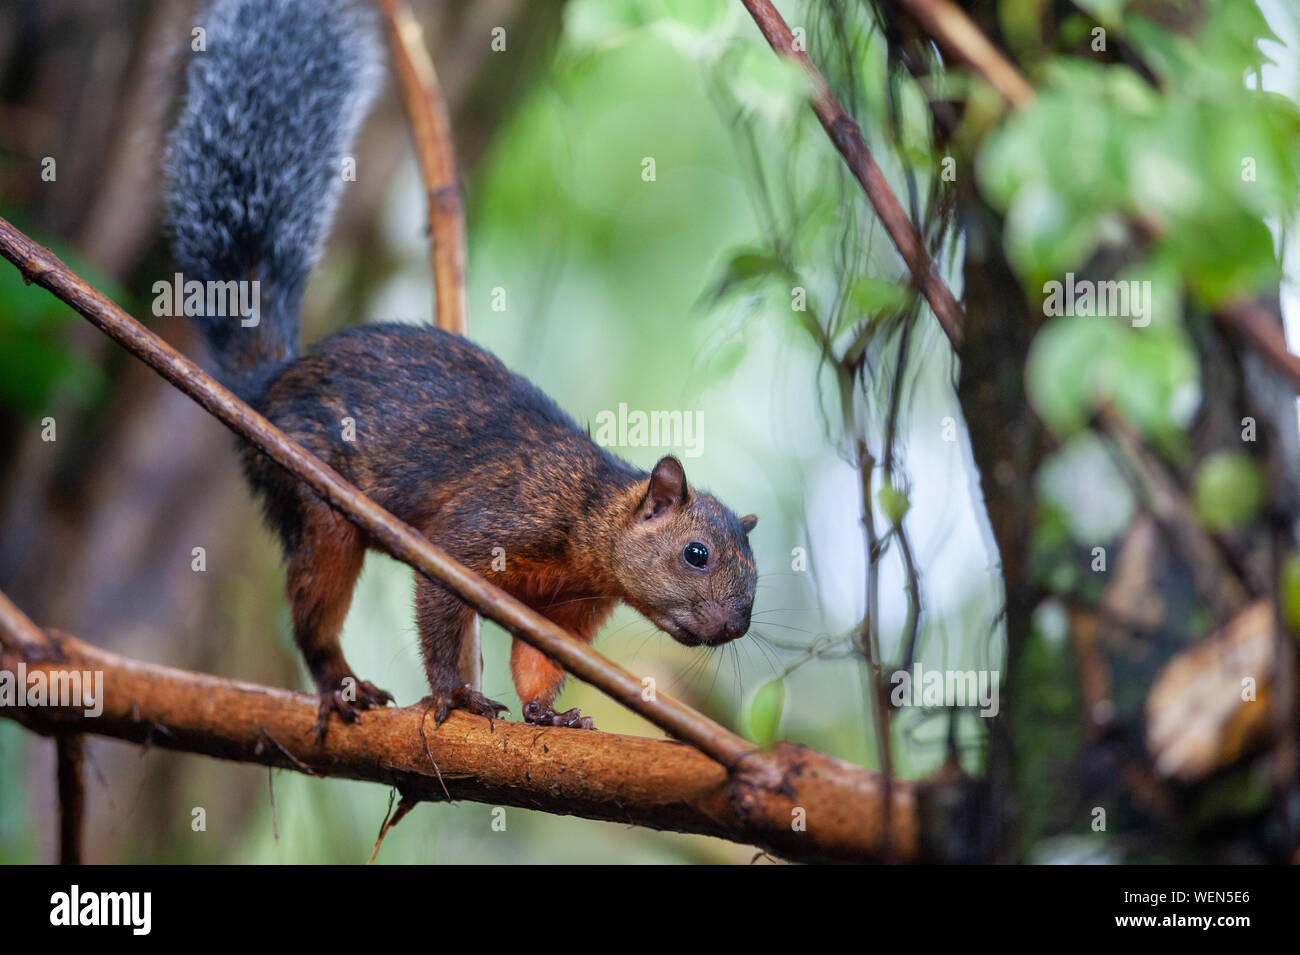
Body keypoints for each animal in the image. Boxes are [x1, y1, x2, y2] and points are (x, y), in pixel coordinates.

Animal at [165, 0, 759, 736]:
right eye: (695, 553)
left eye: (757, 571)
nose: (735, 625)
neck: (590, 520)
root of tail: (266, 385)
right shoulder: (483, 530)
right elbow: (443, 609)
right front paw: (456, 693)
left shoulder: (562, 610)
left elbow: (537, 659)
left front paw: (547, 713)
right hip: (315, 500)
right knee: (314, 608)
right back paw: (338, 684)